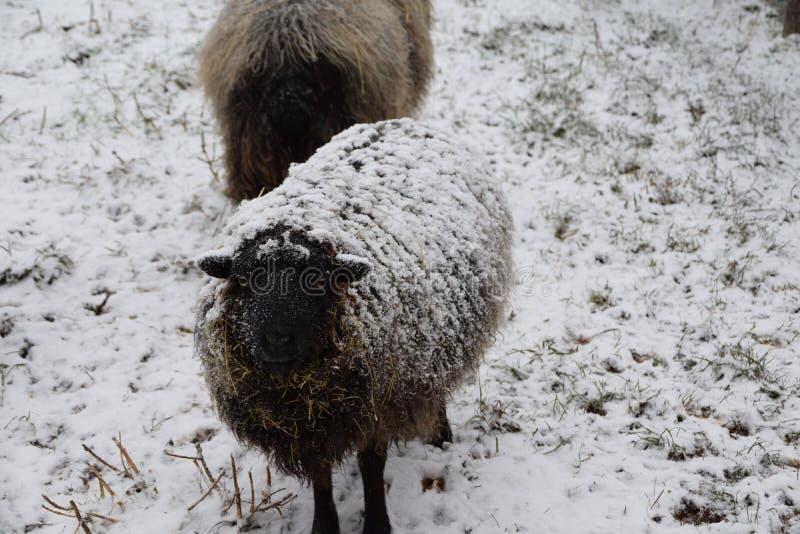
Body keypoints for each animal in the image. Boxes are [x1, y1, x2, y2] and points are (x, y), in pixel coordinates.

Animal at [194, 119, 512, 534]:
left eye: (316, 280)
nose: (277, 340)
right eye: (246, 279)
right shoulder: (309, 428)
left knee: (436, 387)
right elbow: (320, 476)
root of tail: (410, 123)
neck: (298, 388)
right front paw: (324, 526)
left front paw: (377, 523)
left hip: (428, 348)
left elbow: (371, 467)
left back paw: (440, 436)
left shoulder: (378, 401)